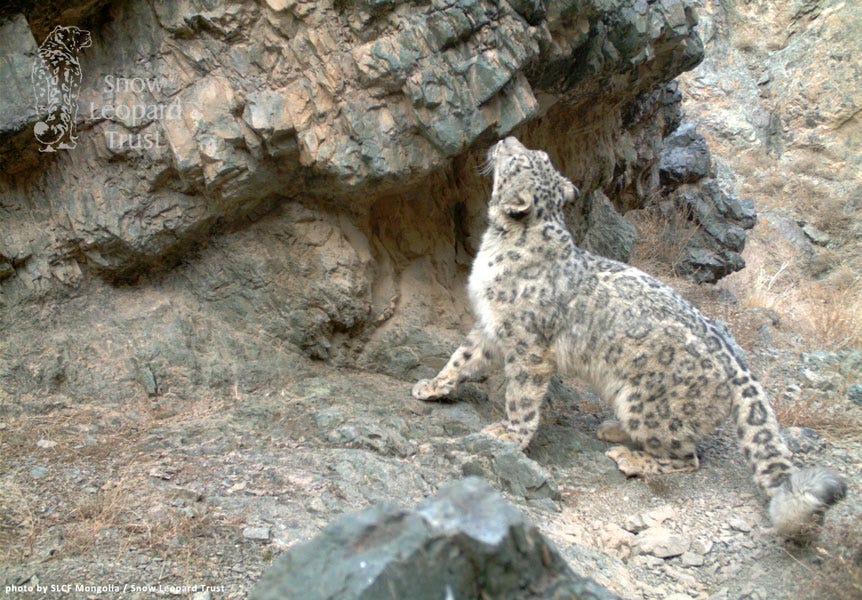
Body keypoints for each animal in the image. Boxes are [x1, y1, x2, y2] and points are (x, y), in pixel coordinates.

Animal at [412, 136, 846, 540]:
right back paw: (614, 429)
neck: (498, 243)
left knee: (686, 456)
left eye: (520, 159)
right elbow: (462, 356)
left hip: (651, 403)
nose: (505, 139)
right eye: (537, 156)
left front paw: (509, 435)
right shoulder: (490, 326)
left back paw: (629, 456)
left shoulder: (527, 345)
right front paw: (432, 385)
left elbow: (520, 396)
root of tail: (737, 362)